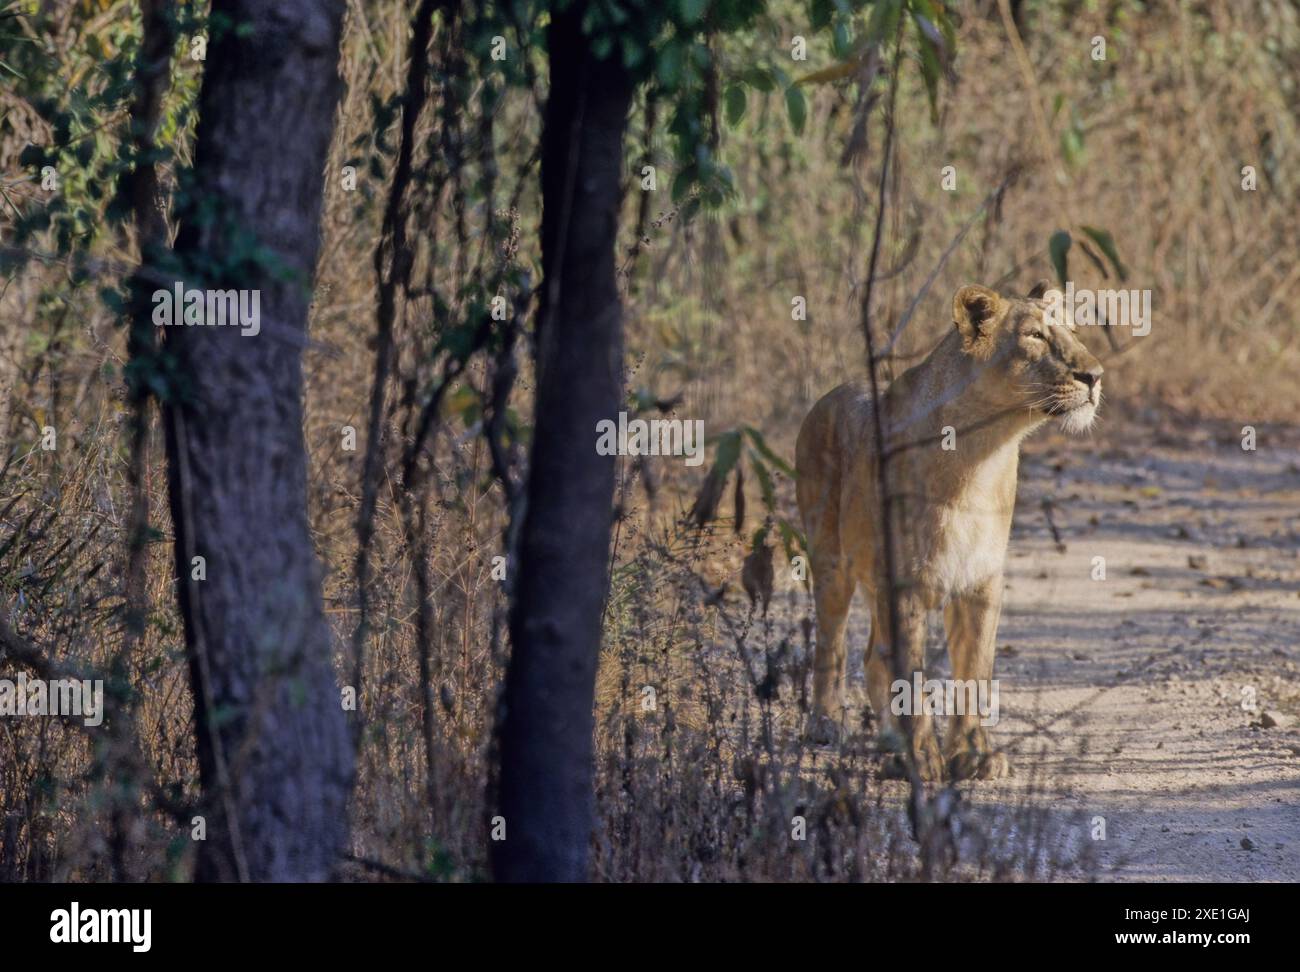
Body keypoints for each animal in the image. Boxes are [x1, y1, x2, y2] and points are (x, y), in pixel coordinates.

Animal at [795, 282, 1103, 781]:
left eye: (1074, 332)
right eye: (1034, 335)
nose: (1094, 376)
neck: (984, 451)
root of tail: (829, 395)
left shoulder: (981, 582)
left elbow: (974, 671)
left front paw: (975, 755)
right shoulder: (904, 585)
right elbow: (912, 679)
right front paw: (923, 759)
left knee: (872, 657)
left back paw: (888, 738)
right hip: (831, 561)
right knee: (832, 642)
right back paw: (825, 723)